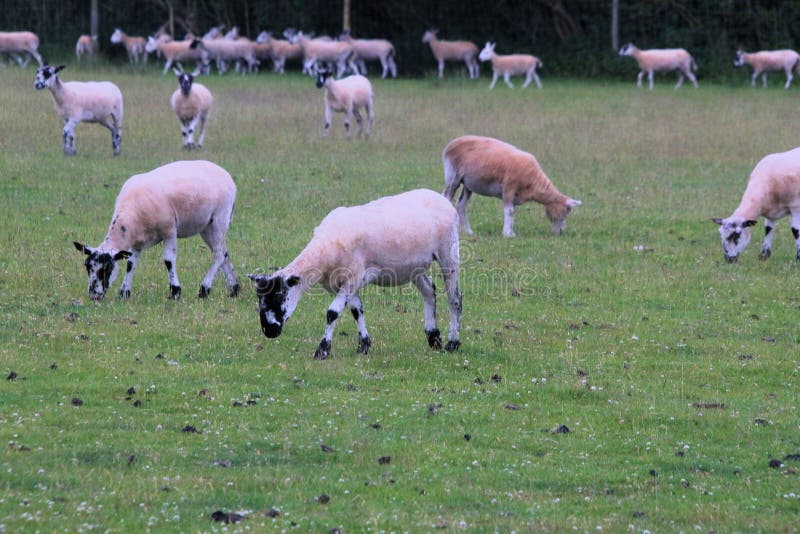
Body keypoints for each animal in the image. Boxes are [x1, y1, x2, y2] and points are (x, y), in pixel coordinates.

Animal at [73, 160, 240, 301]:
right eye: (87, 267)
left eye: (107, 269)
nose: (94, 296)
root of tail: (226, 175)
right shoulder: (137, 241)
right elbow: (131, 264)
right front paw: (124, 292)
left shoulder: (169, 230)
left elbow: (168, 260)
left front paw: (175, 292)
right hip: (206, 226)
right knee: (223, 252)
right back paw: (234, 289)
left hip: (220, 218)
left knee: (218, 254)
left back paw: (204, 289)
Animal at [247, 188, 461, 359]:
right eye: (260, 299)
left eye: (279, 296)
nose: (268, 331)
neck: (325, 249)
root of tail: (440, 197)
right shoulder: (346, 282)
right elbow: (356, 310)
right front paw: (363, 346)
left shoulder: (353, 278)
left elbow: (332, 313)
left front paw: (322, 350)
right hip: (413, 267)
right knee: (429, 291)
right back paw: (433, 338)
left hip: (448, 252)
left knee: (454, 298)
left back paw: (452, 343)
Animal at [442, 135, 582, 237]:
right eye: (565, 212)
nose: (561, 232)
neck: (533, 183)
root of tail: (451, 143)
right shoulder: (509, 188)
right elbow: (509, 211)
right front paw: (507, 234)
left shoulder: (516, 195)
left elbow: (512, 212)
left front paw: (511, 231)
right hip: (452, 177)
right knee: (446, 198)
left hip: (468, 184)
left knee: (461, 205)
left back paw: (468, 231)